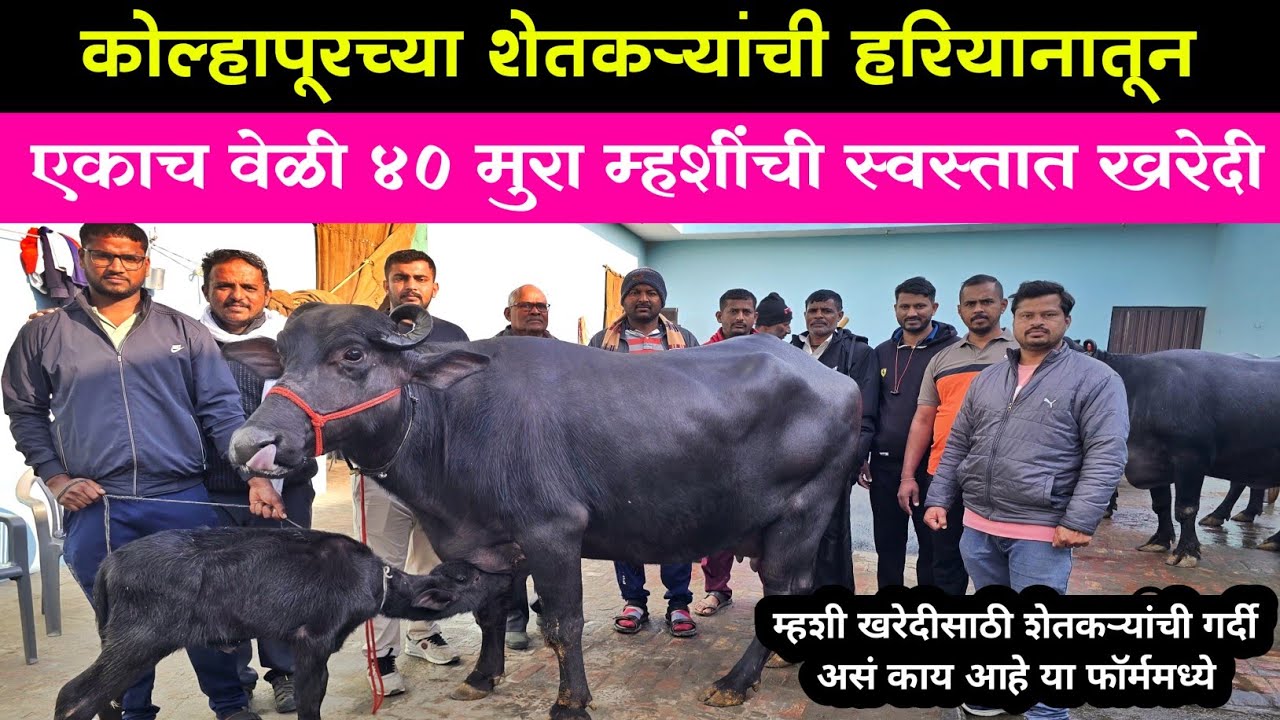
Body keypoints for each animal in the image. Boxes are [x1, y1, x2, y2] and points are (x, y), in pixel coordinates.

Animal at [228, 302, 864, 719]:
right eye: (281, 359)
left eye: (353, 354)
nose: (248, 444)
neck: (454, 420)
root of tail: (841, 383)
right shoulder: (488, 544)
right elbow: (491, 611)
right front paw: (482, 678)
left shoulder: (553, 533)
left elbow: (562, 623)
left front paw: (571, 702)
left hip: (800, 515)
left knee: (785, 585)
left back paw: (735, 681)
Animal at [1086, 347, 1280, 566]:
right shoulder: (1153, 462)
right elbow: (1161, 504)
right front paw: (1159, 541)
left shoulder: (1190, 458)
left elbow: (1185, 508)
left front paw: (1186, 552)